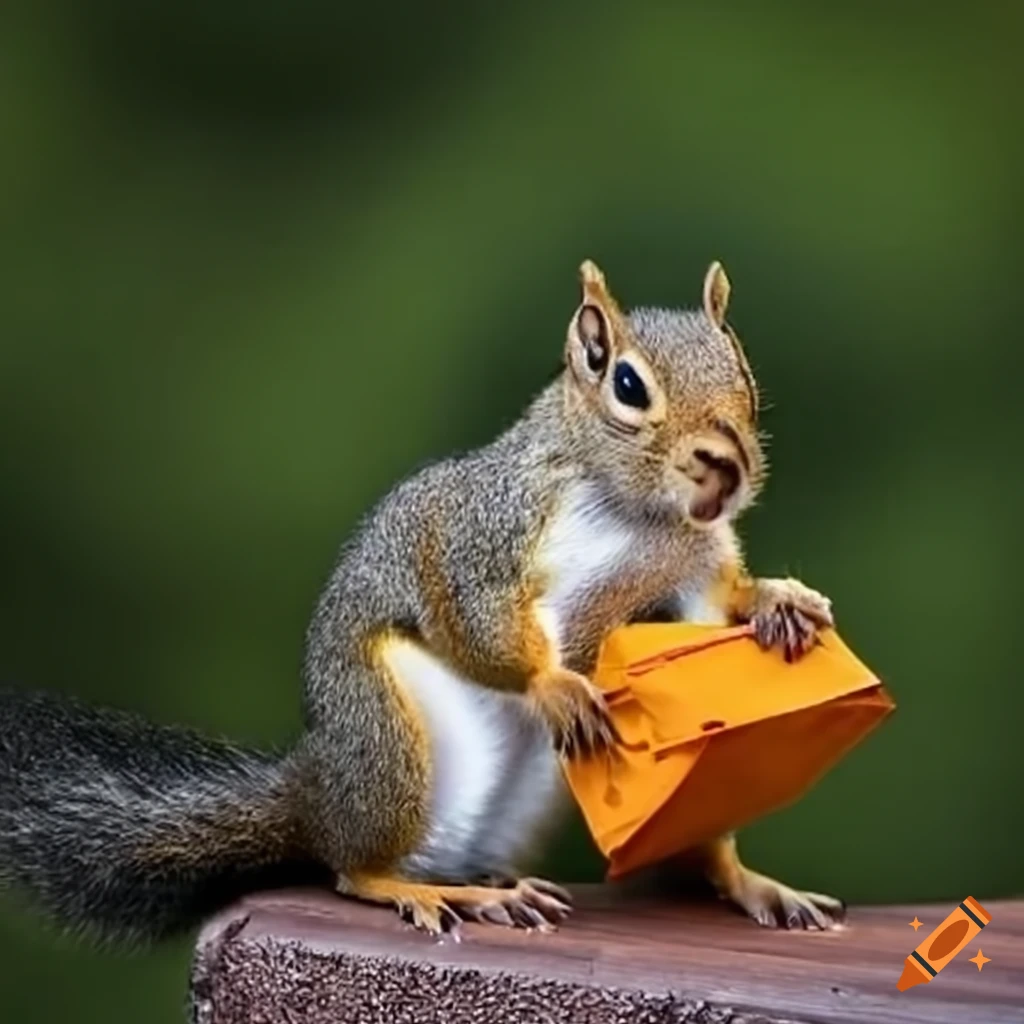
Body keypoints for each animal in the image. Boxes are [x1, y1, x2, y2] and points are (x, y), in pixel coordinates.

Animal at [0, 258, 844, 945]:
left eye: (745, 374)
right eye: (627, 385)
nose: (726, 465)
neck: (640, 517)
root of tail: (317, 792)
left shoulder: (693, 567)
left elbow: (718, 603)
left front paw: (779, 601)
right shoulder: (488, 534)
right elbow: (476, 615)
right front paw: (554, 683)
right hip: (395, 739)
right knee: (352, 869)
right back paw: (434, 891)